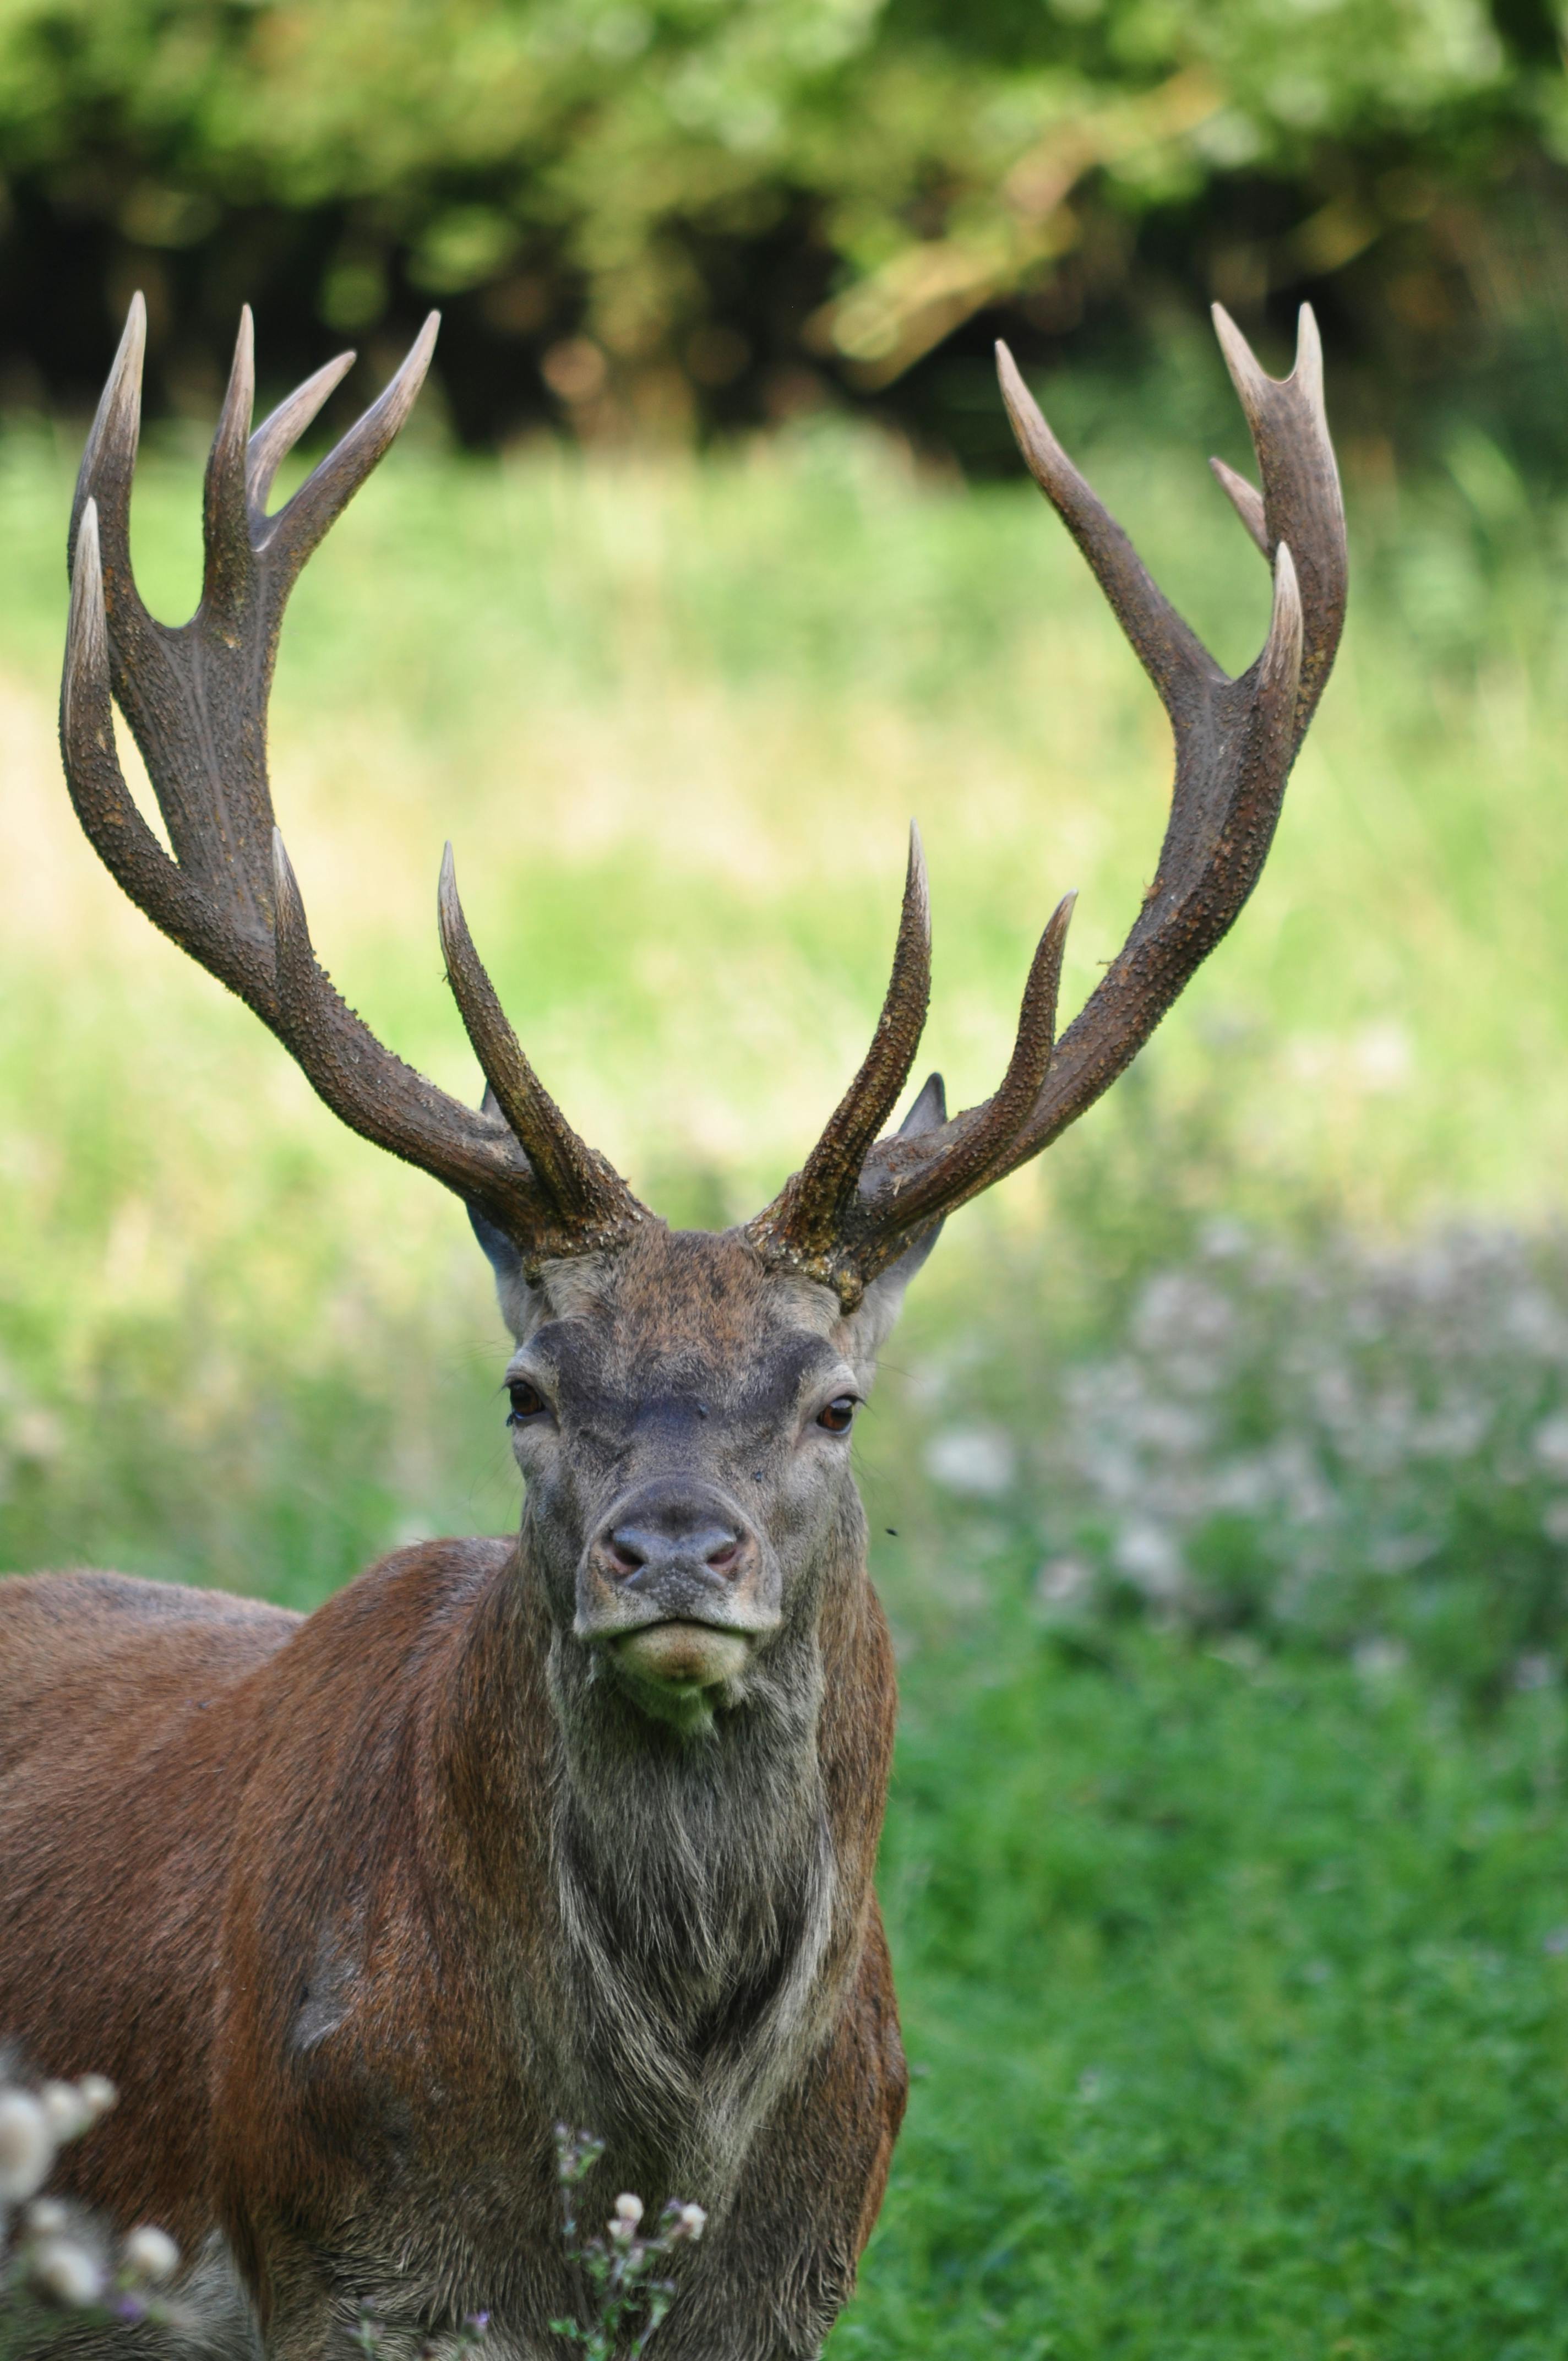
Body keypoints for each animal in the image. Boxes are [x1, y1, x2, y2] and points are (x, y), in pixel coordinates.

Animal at [0, 294, 1344, 2360]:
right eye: (527, 1386)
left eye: (834, 1400)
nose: (672, 1551)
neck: (644, 2173)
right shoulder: (323, 2264)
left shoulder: (796, 2287)